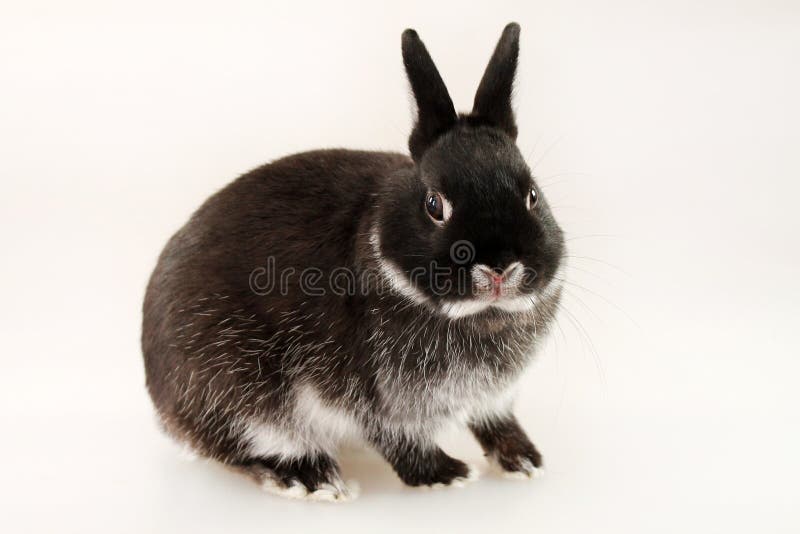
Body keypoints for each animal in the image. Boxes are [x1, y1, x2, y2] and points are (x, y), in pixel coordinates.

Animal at [142, 22, 565, 502]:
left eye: (533, 196)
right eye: (434, 205)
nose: (500, 269)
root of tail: (162, 401)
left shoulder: (492, 400)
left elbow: (496, 421)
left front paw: (525, 459)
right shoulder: (376, 397)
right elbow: (398, 440)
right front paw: (444, 474)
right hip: (237, 387)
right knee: (241, 446)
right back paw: (312, 477)